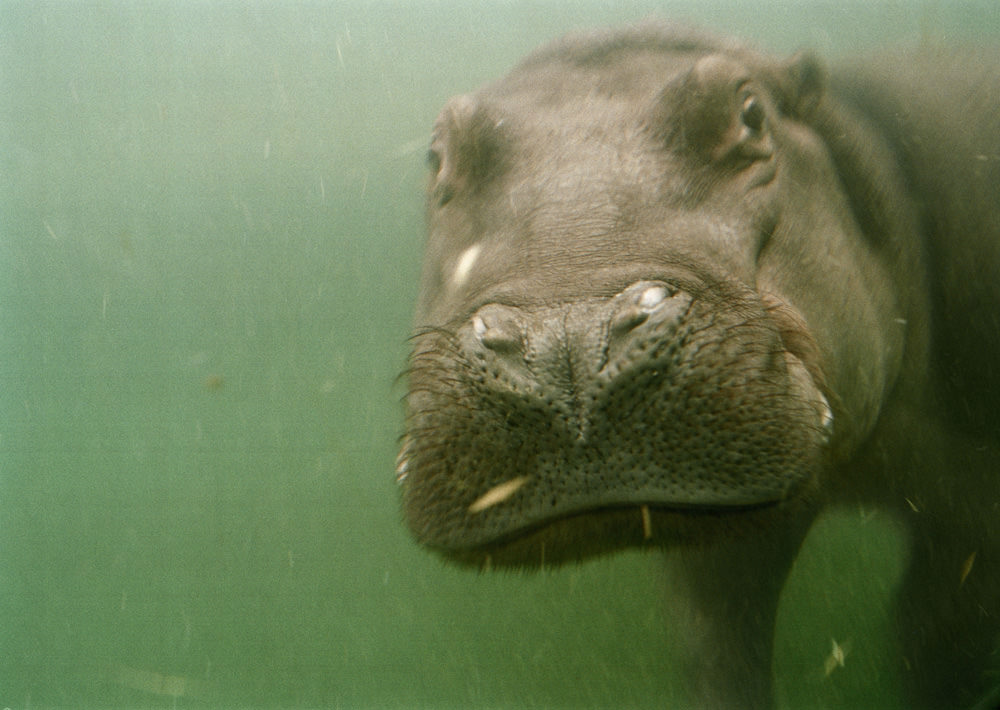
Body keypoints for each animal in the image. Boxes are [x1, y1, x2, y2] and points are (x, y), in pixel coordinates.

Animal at [397, 22, 1000, 709]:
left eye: (751, 112)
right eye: (437, 156)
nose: (565, 345)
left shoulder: (970, 524)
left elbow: (933, 632)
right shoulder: (721, 548)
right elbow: (718, 655)